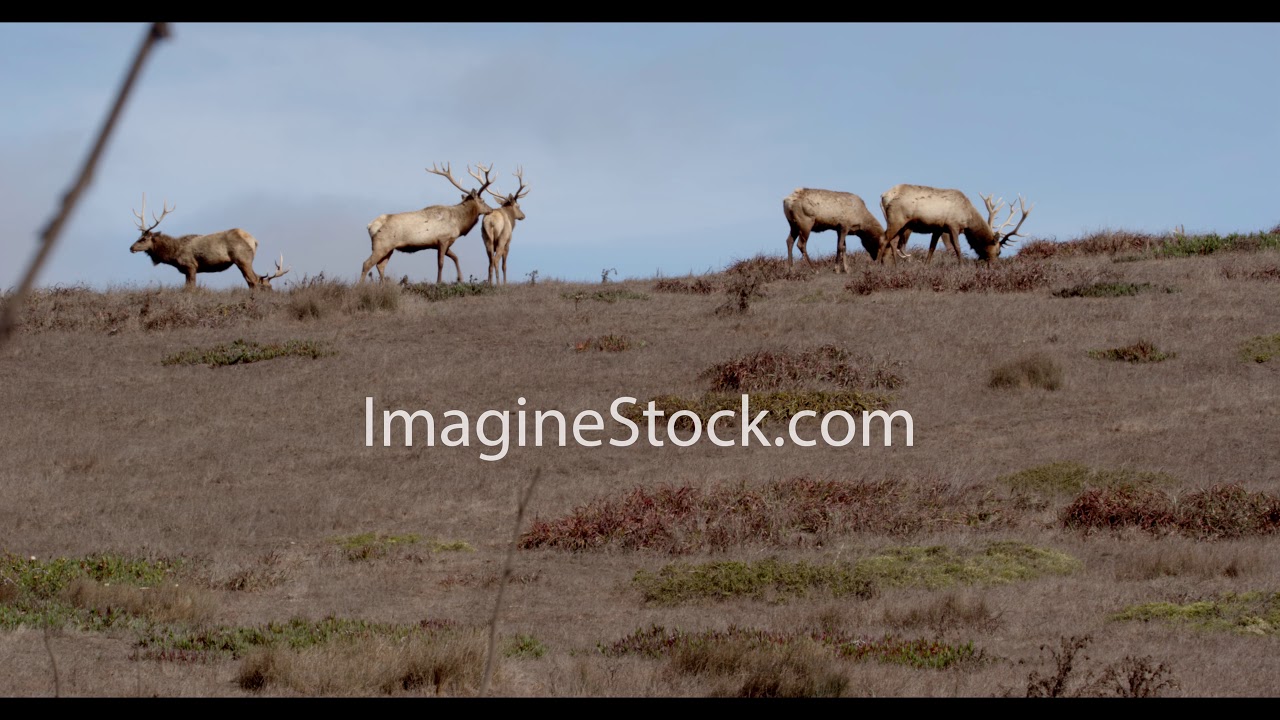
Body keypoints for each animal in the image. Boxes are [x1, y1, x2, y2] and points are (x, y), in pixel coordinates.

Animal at [128, 194, 289, 290]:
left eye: (144, 239)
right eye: (139, 237)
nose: (131, 248)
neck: (173, 255)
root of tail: (254, 241)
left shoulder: (190, 265)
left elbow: (190, 289)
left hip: (243, 259)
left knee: (254, 281)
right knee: (252, 281)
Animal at [359, 162, 496, 284]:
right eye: (483, 200)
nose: (491, 209)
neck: (459, 224)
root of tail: (371, 226)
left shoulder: (443, 243)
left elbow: (455, 257)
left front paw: (460, 279)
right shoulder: (443, 239)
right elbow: (440, 263)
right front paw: (439, 282)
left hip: (389, 248)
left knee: (380, 266)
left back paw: (383, 286)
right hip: (381, 245)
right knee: (367, 264)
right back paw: (360, 286)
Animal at [877, 184, 1034, 265]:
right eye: (998, 251)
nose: (995, 265)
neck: (968, 218)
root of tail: (884, 196)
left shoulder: (938, 229)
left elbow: (932, 248)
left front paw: (926, 265)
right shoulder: (952, 225)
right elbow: (957, 248)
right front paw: (961, 265)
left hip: (902, 225)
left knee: (893, 242)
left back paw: (895, 266)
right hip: (897, 219)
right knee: (884, 239)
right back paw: (878, 264)